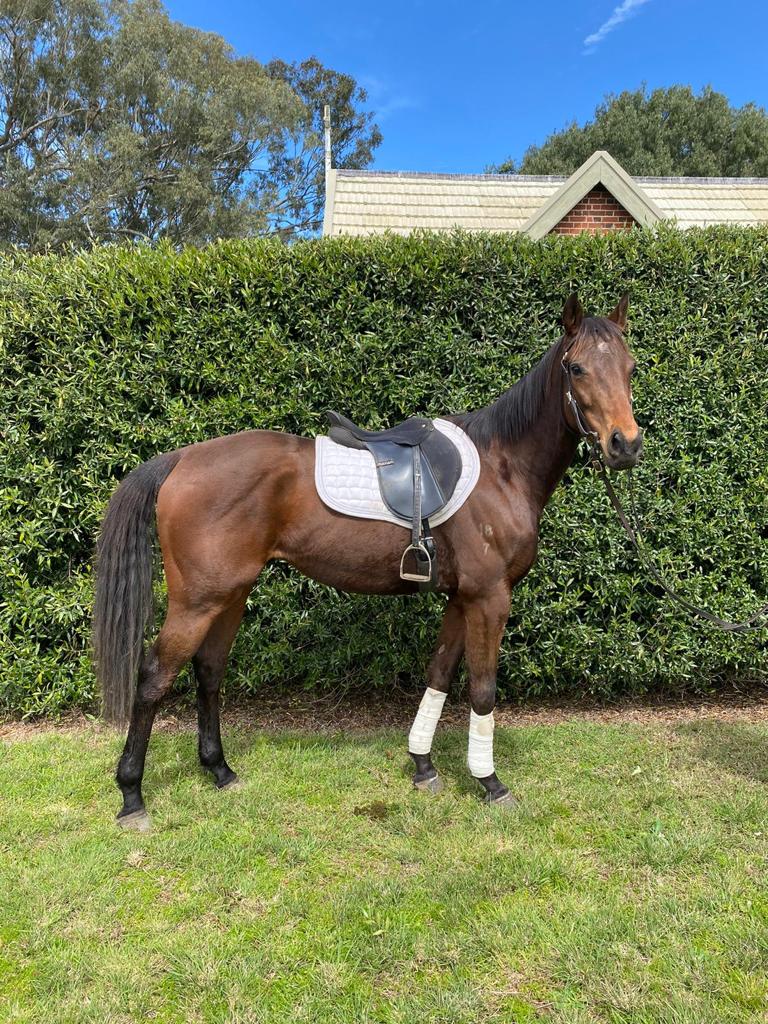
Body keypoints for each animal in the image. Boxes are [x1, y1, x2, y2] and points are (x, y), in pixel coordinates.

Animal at [93, 294, 641, 829]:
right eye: (576, 369)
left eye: (630, 367)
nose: (626, 444)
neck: (501, 467)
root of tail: (182, 459)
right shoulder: (489, 598)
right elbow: (483, 689)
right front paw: (489, 783)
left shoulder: (460, 598)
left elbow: (439, 673)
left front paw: (423, 766)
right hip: (198, 601)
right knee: (153, 678)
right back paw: (132, 797)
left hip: (230, 594)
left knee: (209, 671)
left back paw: (220, 771)